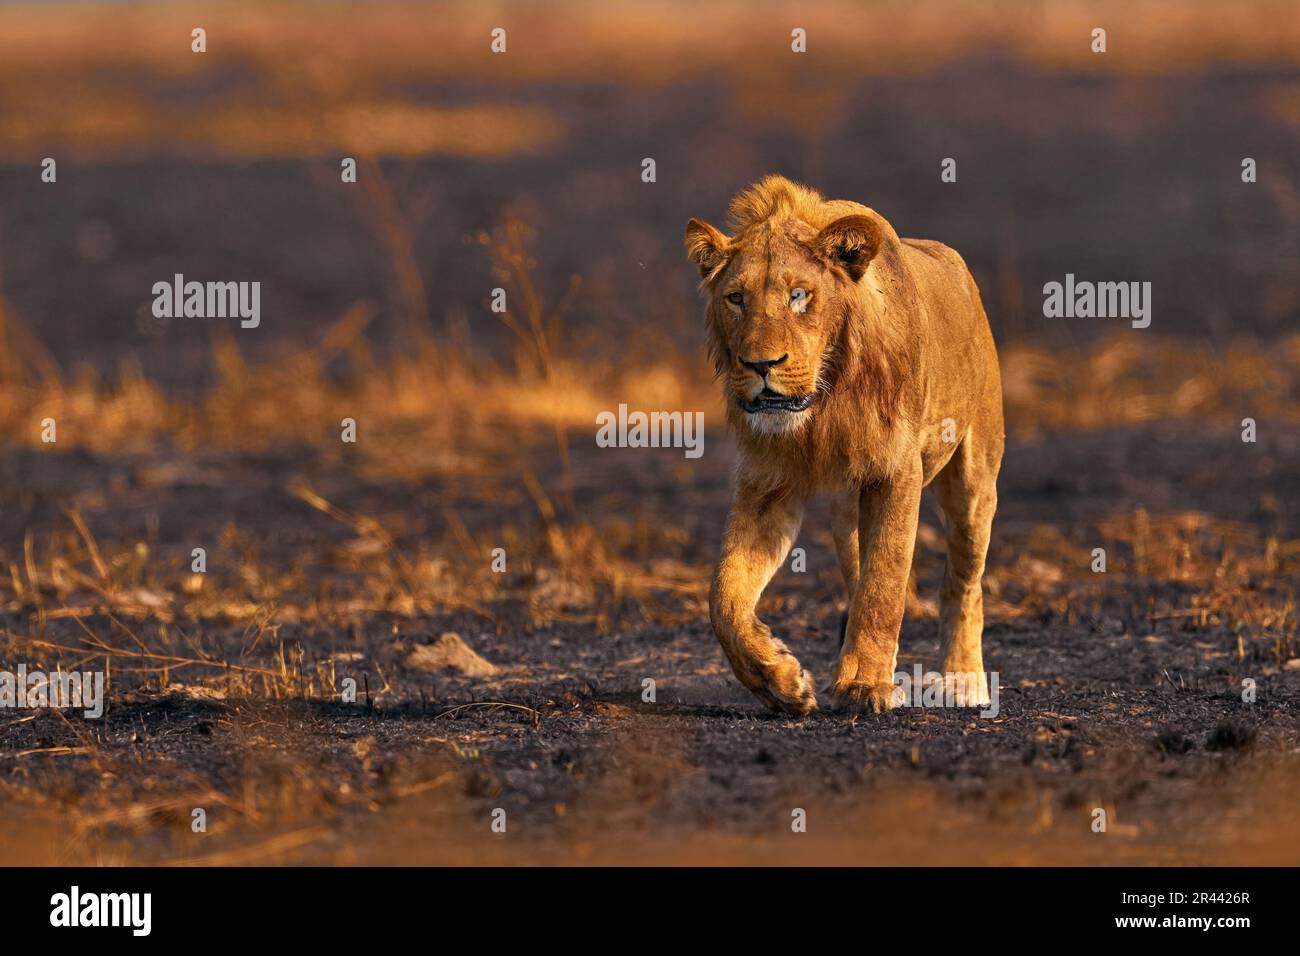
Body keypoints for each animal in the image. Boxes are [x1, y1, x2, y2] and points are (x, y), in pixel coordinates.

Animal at [685, 175, 1004, 715]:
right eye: (736, 299)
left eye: (798, 295)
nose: (760, 365)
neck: (823, 406)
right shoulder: (766, 481)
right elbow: (724, 595)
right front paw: (780, 680)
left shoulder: (896, 471)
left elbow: (885, 585)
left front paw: (863, 685)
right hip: (844, 510)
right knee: (857, 569)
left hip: (974, 478)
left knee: (963, 579)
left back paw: (962, 680)